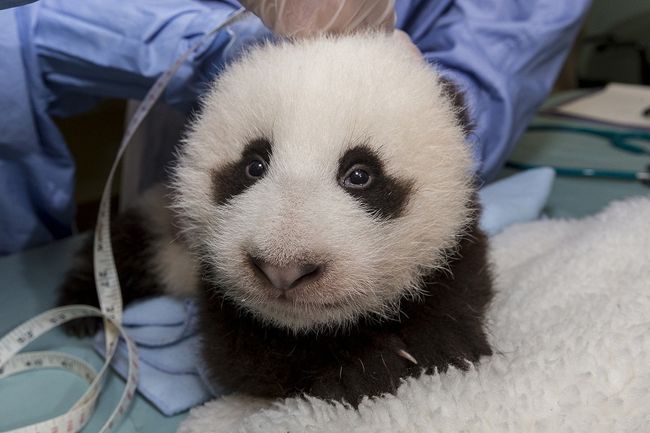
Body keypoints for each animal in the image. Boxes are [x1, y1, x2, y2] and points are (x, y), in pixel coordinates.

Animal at [58, 32, 494, 407]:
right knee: (126, 245)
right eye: (254, 165)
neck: (306, 323)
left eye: (360, 175)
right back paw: (82, 306)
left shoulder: (455, 240)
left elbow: (460, 287)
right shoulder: (216, 292)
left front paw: (441, 346)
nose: (284, 269)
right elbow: (246, 358)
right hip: (163, 228)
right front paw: (364, 366)